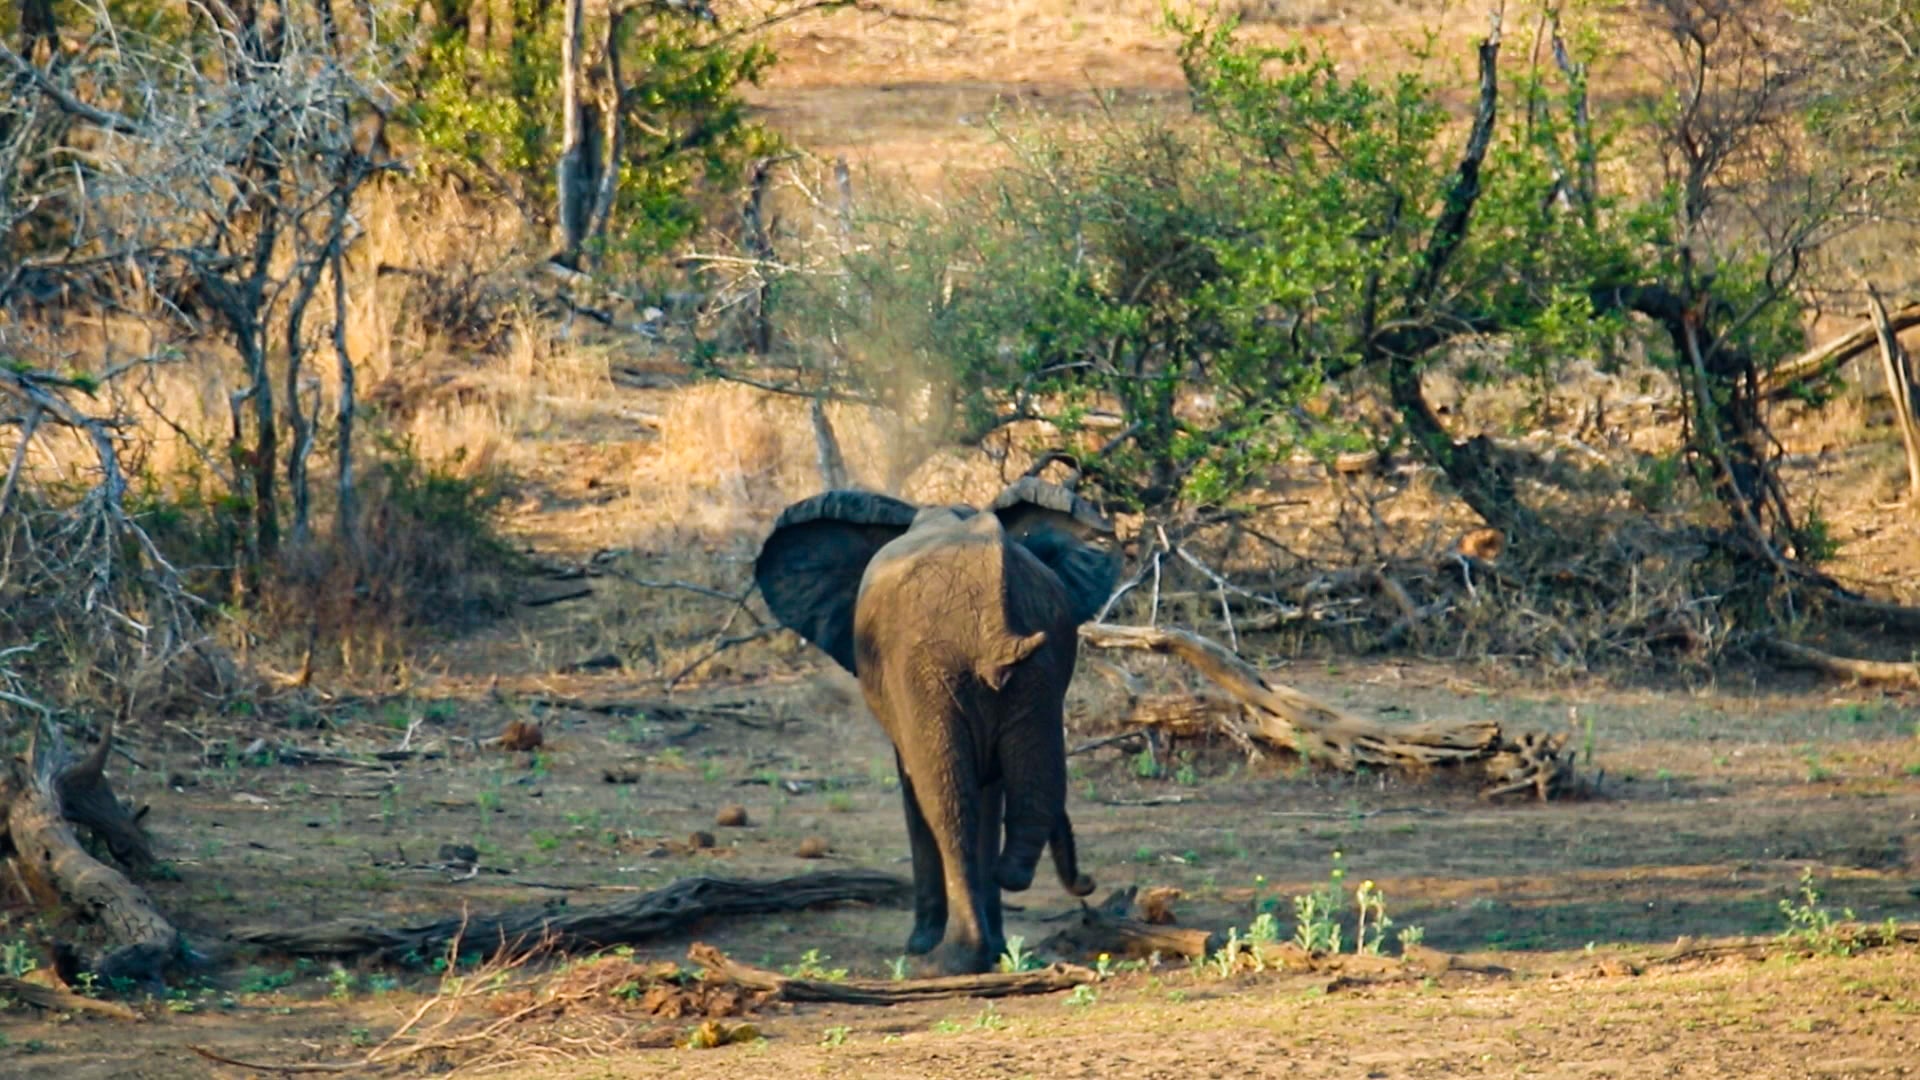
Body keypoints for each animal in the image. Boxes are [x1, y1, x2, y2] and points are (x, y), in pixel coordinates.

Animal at [754, 478, 1122, 973]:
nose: (1089, 885)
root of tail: (991, 597)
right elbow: (991, 790)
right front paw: (993, 944)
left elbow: (919, 786)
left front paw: (920, 944)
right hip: (1036, 668)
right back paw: (983, 948)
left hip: (928, 668)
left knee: (947, 801)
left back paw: (952, 958)